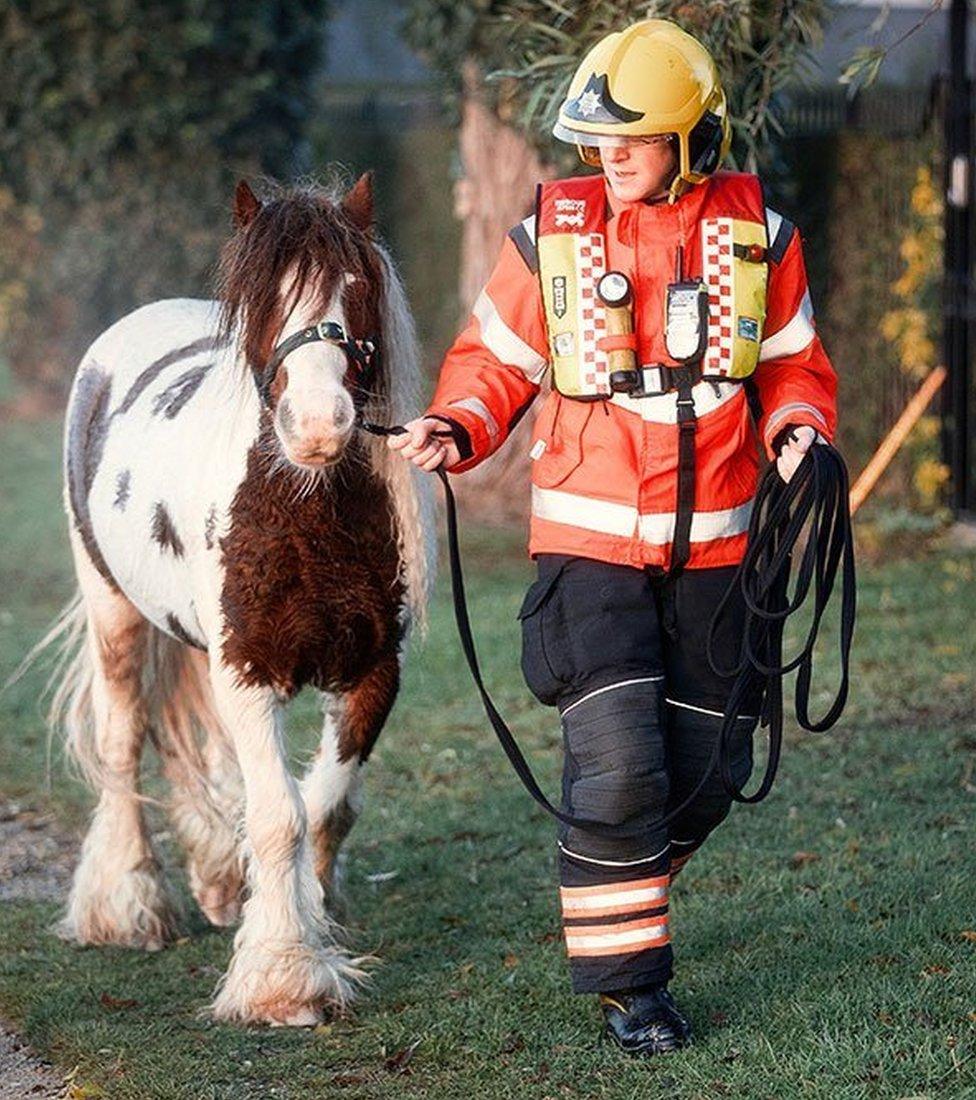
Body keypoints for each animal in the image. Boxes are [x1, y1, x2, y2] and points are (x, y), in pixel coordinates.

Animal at [42, 173, 435, 1025]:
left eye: (356, 288)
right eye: (265, 299)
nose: (318, 425)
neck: (305, 509)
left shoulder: (372, 673)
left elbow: (324, 807)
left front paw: (305, 923)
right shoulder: (249, 672)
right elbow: (280, 814)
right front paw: (284, 980)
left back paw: (222, 882)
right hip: (113, 610)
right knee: (123, 743)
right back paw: (126, 909)